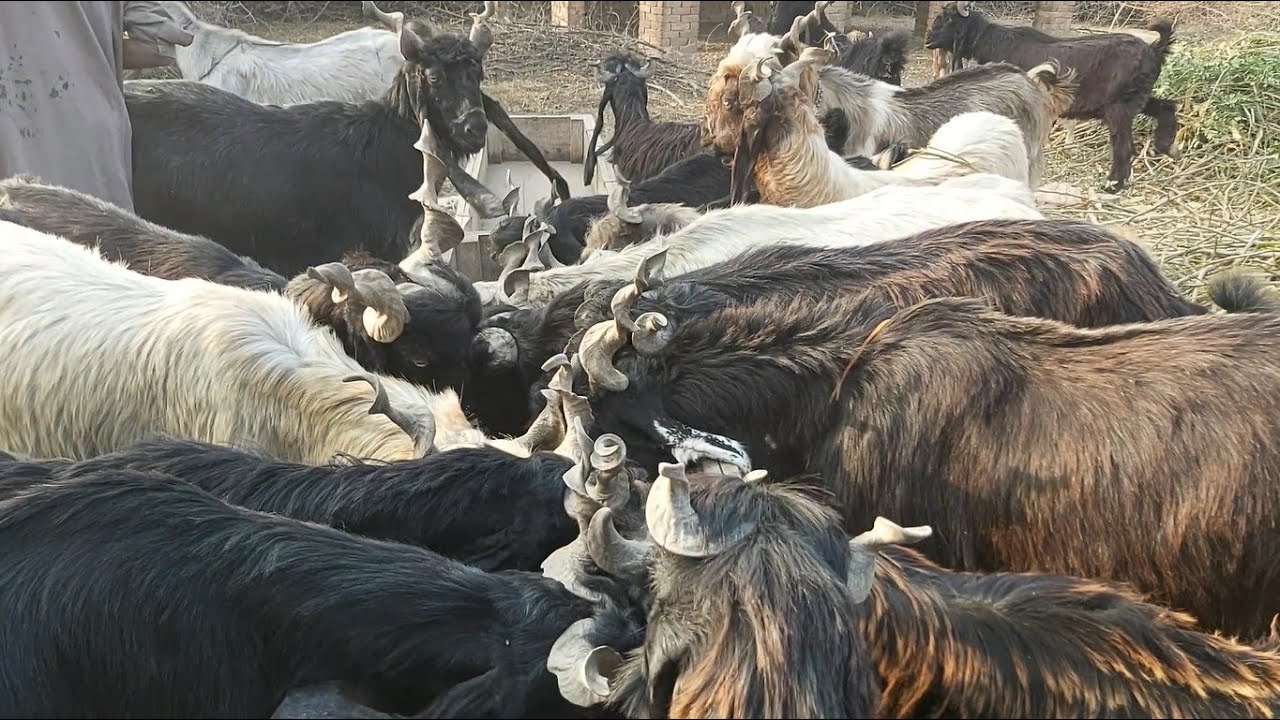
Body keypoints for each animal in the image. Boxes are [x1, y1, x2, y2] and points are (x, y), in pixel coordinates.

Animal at [927, 1, 1180, 191]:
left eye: (948, 18)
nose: (928, 40)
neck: (994, 43)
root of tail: (1154, 49)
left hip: (1119, 108)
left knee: (1124, 146)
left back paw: (1113, 184)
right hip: (1138, 99)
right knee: (1167, 107)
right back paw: (1166, 147)